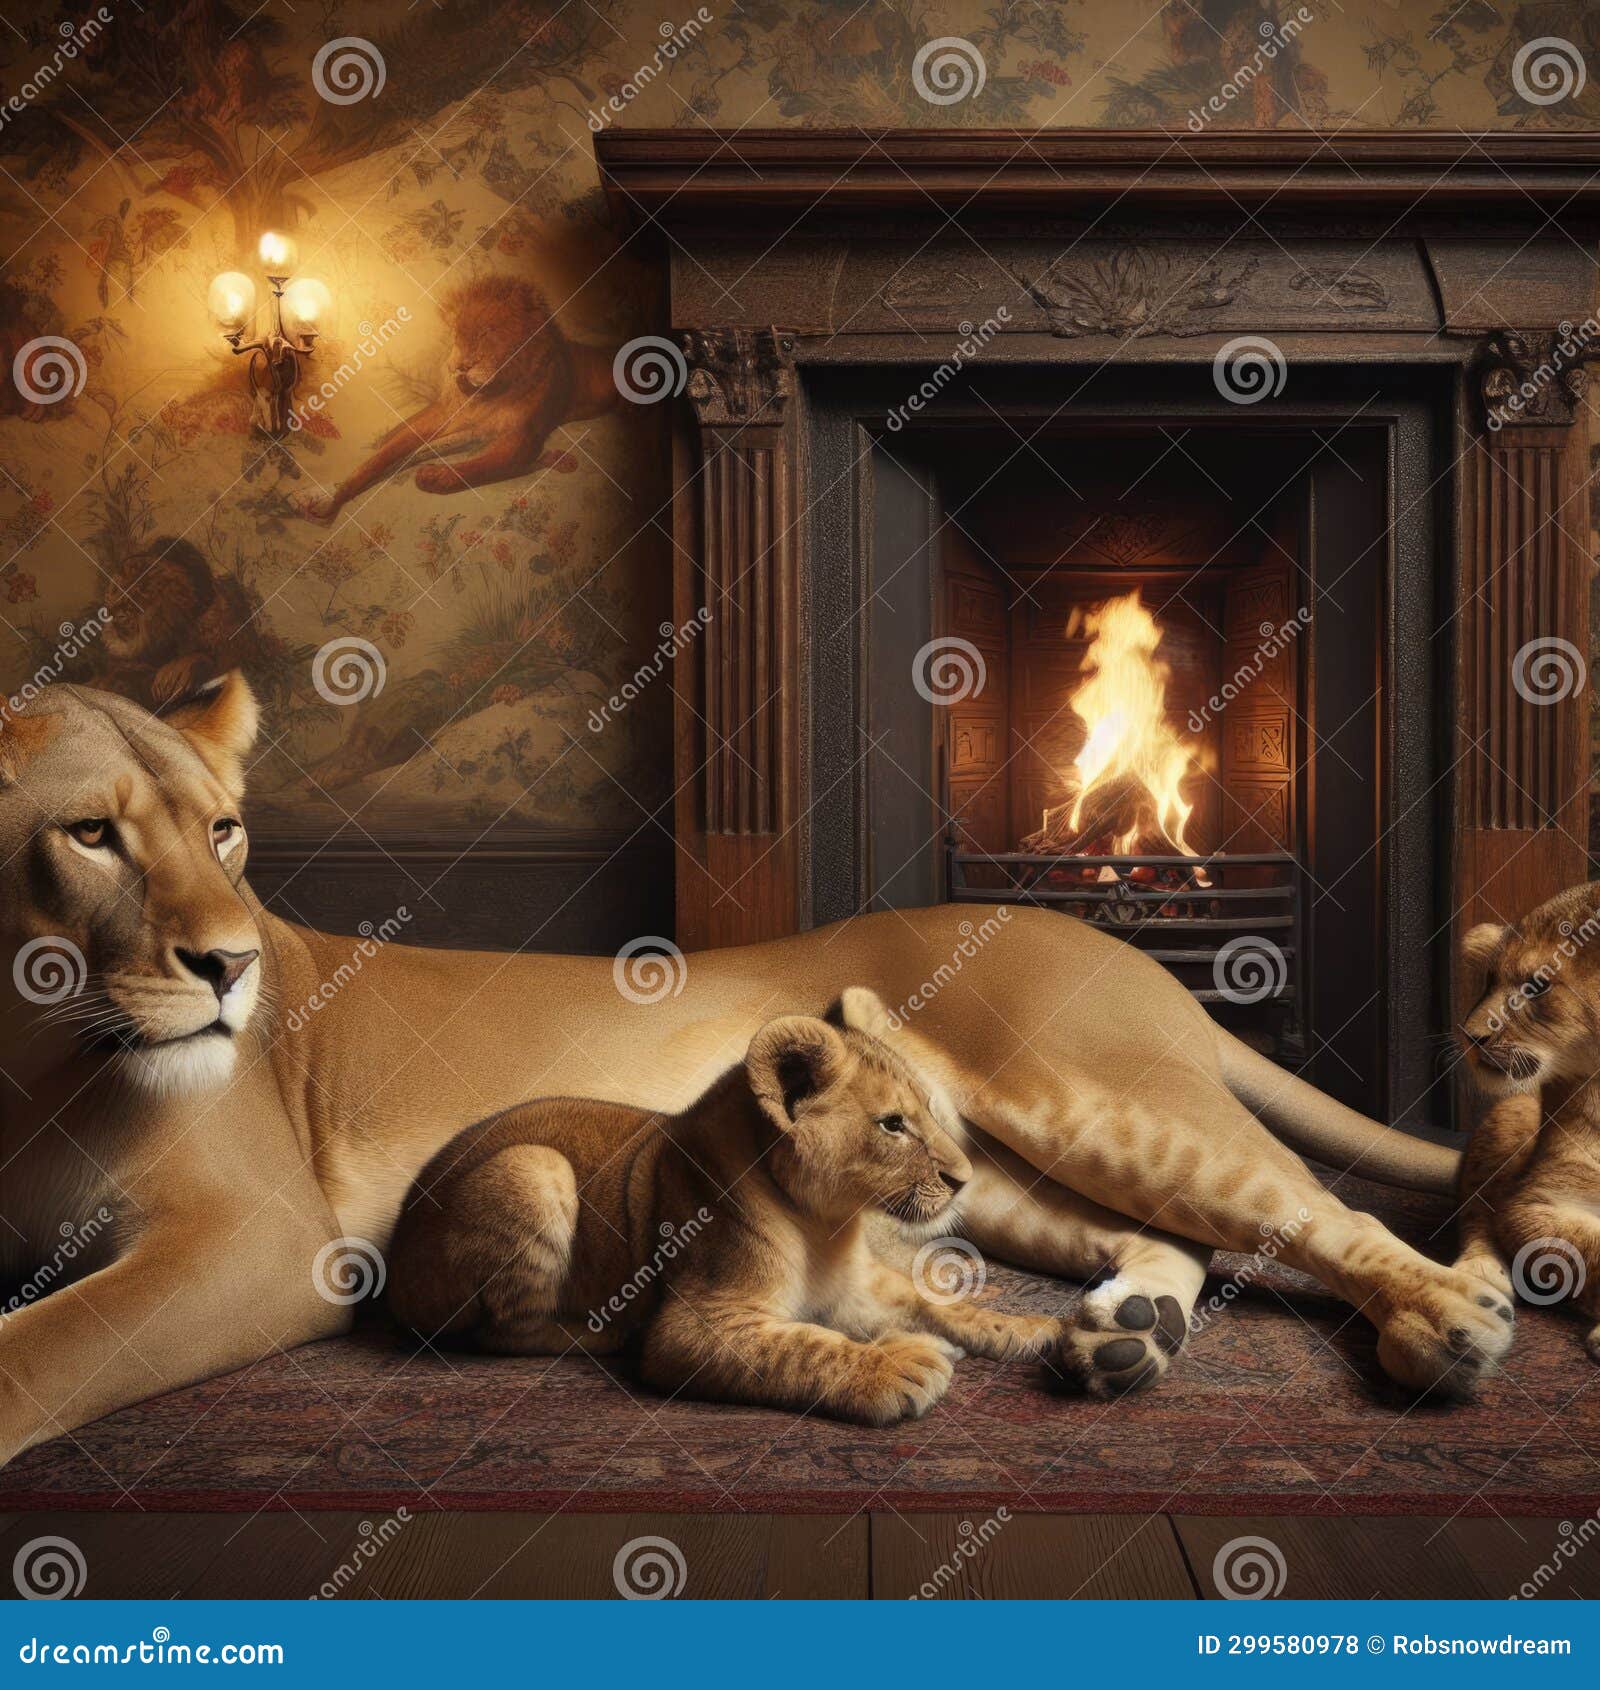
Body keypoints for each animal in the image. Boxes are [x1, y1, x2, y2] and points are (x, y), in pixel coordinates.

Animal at [300, 275, 617, 523]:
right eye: (458, 334)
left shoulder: (520, 437)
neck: (491, 391)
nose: (460, 367)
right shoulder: (445, 416)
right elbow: (385, 455)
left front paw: (434, 477)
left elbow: (480, 466)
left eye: (488, 332)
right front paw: (333, 495)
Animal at [389, 988, 1058, 1422]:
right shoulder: (694, 1325)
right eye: (893, 1125)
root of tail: (393, 1251)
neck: (824, 1224)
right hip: (533, 1167)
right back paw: (604, 1334)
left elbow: (938, 1303)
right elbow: (804, 1347)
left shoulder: (857, 1287)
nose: (964, 1180)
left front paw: (1036, 1330)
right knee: (501, 1331)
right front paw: (899, 1366)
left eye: (928, 1109)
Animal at [1454, 881, 1600, 1359]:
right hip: (1507, 1118)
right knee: (1478, 1211)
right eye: (1488, 980)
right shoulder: (1539, 1200)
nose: (1471, 1036)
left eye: (1536, 987)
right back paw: (1481, 1280)